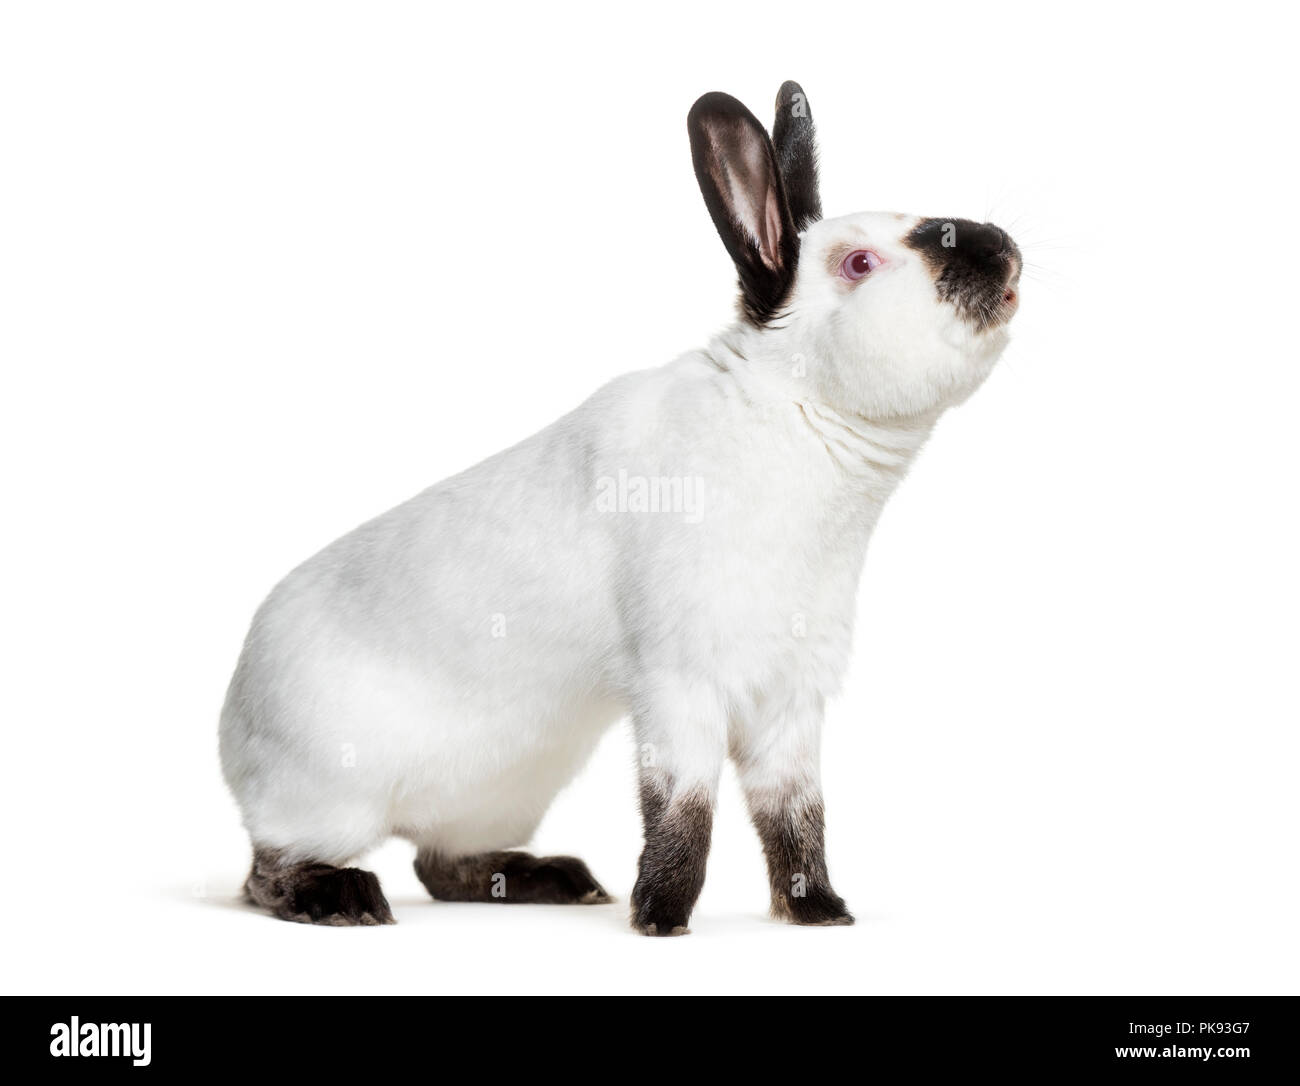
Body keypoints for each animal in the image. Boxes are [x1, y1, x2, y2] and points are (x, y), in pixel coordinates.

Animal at [219, 80, 1021, 933]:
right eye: (860, 263)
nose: (1005, 253)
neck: (795, 422)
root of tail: (232, 719)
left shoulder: (790, 700)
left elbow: (795, 817)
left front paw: (820, 912)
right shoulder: (681, 684)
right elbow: (683, 810)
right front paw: (660, 918)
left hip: (498, 795)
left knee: (442, 864)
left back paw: (554, 878)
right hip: (327, 800)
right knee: (268, 873)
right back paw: (345, 899)